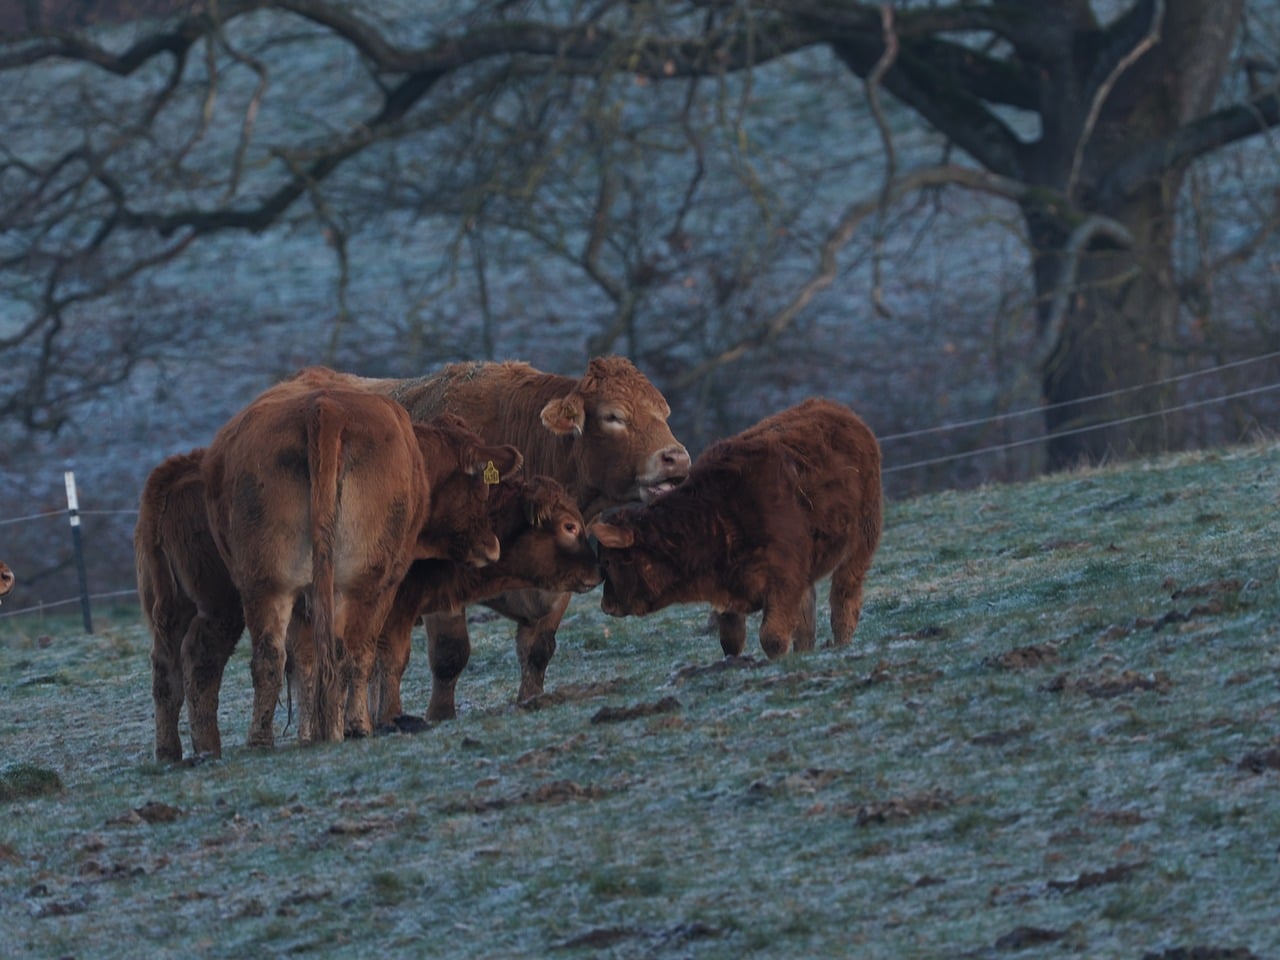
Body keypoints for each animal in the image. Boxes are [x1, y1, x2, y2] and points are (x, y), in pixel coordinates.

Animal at [136, 449, 245, 761]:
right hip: (221, 605)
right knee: (199, 659)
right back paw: (208, 747)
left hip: (171, 608)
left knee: (165, 671)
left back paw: (168, 753)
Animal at [203, 366, 521, 746]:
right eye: (481, 487)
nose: (492, 546)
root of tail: (323, 408)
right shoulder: (390, 583)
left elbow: (305, 662)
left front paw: (310, 732)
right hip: (365, 581)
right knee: (351, 652)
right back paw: (354, 725)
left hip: (266, 583)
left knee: (271, 656)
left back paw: (263, 738)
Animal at [588, 397, 882, 660]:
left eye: (609, 561)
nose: (606, 606)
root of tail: (835, 409)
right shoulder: (731, 595)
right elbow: (731, 640)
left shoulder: (783, 582)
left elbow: (772, 637)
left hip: (862, 541)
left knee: (844, 595)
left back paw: (841, 641)